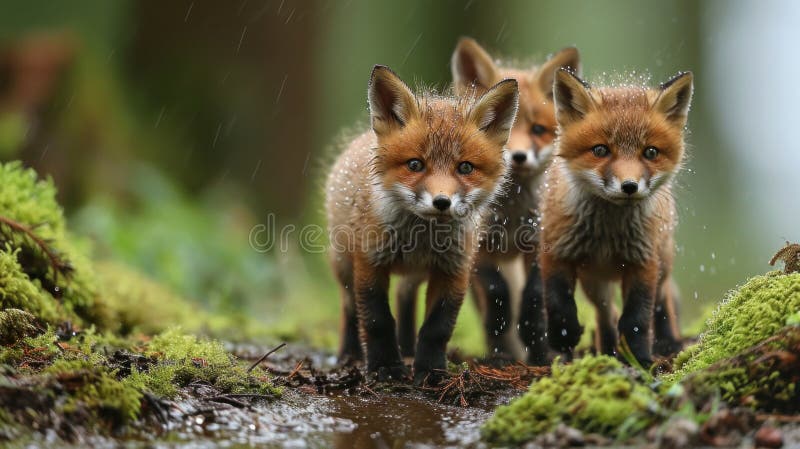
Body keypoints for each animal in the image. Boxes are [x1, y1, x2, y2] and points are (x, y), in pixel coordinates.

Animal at [326, 65, 519, 383]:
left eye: (465, 167)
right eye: (415, 165)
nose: (441, 202)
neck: (421, 238)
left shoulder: (454, 269)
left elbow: (436, 327)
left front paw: (430, 371)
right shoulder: (370, 261)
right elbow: (377, 319)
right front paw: (385, 368)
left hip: (413, 274)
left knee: (404, 297)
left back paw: (406, 348)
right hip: (343, 264)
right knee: (349, 307)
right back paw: (349, 354)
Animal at [394, 39, 580, 364]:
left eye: (538, 130)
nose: (518, 157)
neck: (510, 215)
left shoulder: (536, 243)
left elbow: (533, 296)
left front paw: (530, 333)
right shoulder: (477, 249)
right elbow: (496, 290)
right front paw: (501, 321)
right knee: (404, 293)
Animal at [537, 68, 693, 366]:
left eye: (651, 152)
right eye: (600, 150)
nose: (629, 186)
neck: (607, 233)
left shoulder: (643, 261)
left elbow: (637, 318)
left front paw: (640, 358)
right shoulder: (556, 250)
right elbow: (558, 303)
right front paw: (564, 337)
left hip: (662, 264)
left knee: (662, 300)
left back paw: (668, 342)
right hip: (594, 282)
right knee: (605, 313)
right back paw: (607, 350)